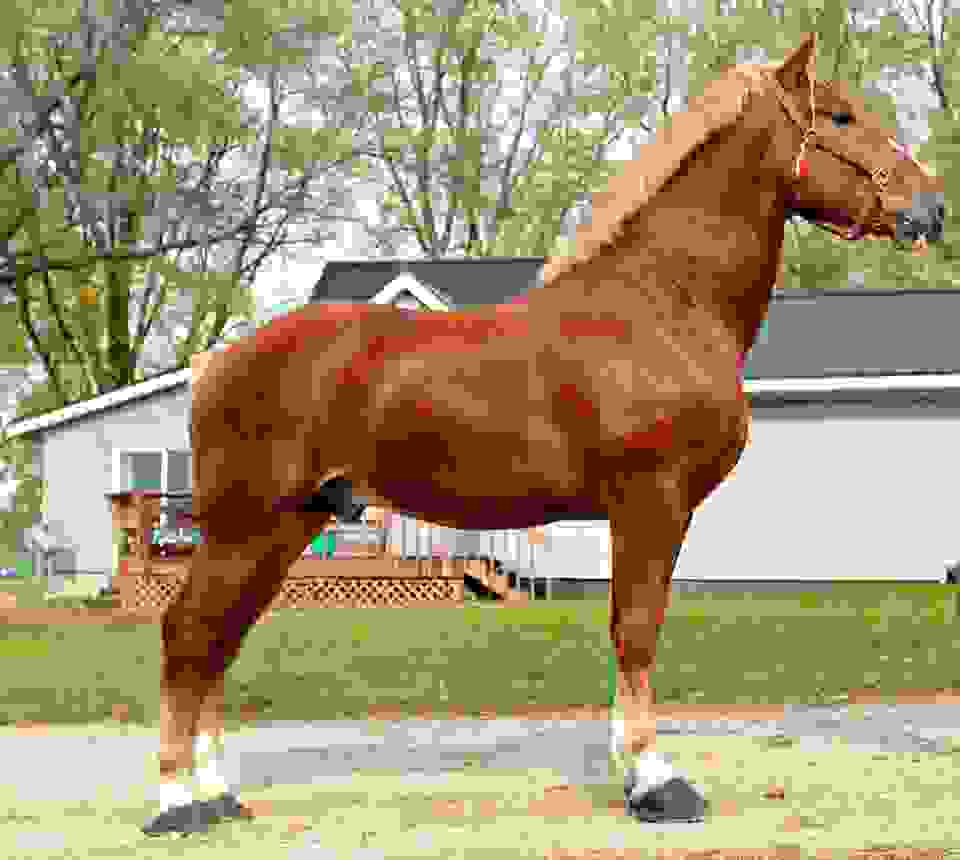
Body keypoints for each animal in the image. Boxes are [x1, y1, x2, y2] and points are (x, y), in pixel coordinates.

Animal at [142, 32, 945, 834]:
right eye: (840, 116)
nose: (930, 205)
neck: (664, 302)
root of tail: (218, 361)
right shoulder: (651, 502)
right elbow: (636, 628)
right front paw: (655, 780)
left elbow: (634, 628)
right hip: (246, 526)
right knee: (189, 633)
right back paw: (178, 799)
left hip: (285, 526)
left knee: (219, 639)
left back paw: (215, 793)